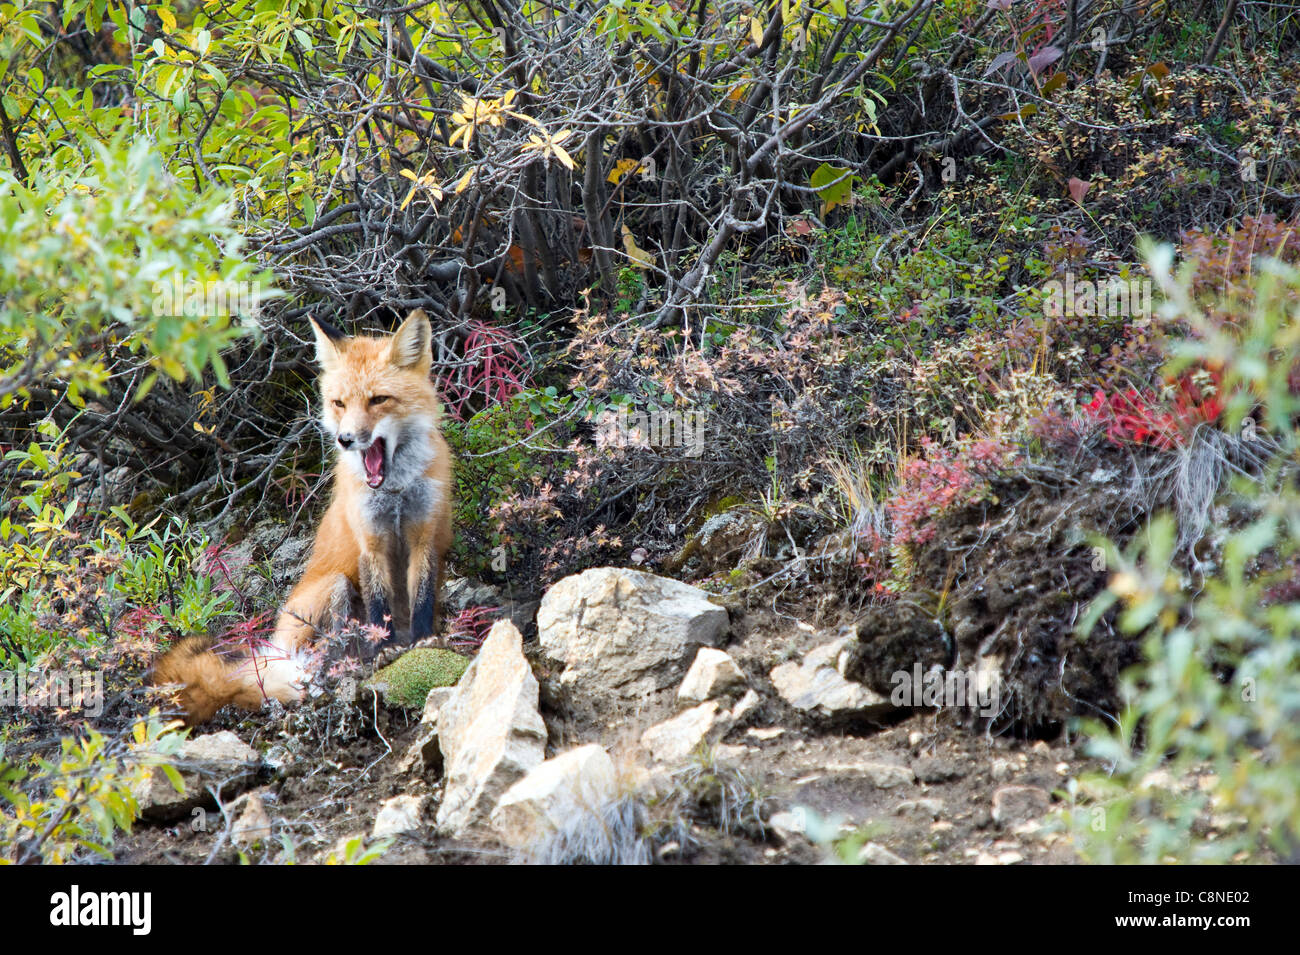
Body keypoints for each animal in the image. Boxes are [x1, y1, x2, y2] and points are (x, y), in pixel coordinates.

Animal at [152, 309, 454, 724]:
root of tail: (275, 644)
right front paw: (385, 651)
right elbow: (380, 609)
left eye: (379, 400)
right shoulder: (370, 542)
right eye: (339, 403)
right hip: (334, 588)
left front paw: (424, 644)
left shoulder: (424, 535)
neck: (394, 490)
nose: (346, 439)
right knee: (313, 661)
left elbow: (422, 597)